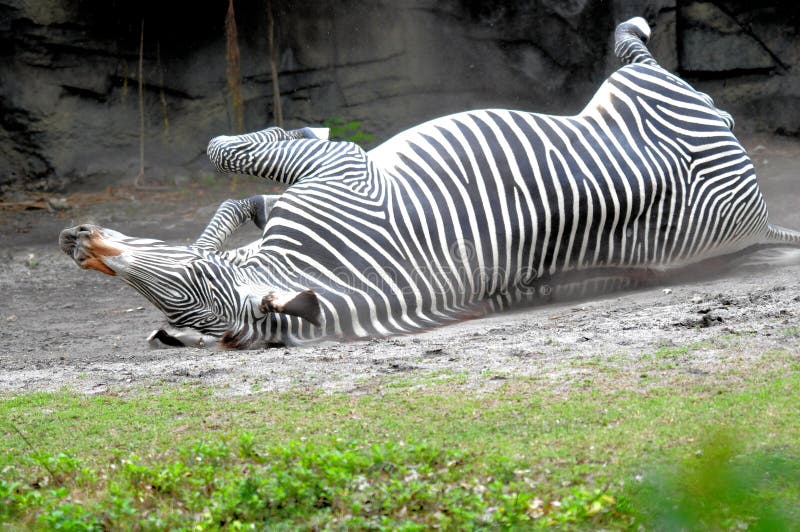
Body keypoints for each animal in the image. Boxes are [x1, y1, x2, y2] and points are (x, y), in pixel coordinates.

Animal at [60, 17, 800, 349]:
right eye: (174, 310)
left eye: (186, 282)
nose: (73, 238)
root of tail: (760, 221)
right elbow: (241, 192)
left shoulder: (340, 169)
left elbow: (232, 157)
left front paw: (292, 138)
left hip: (642, 87)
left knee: (637, 49)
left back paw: (635, 26)